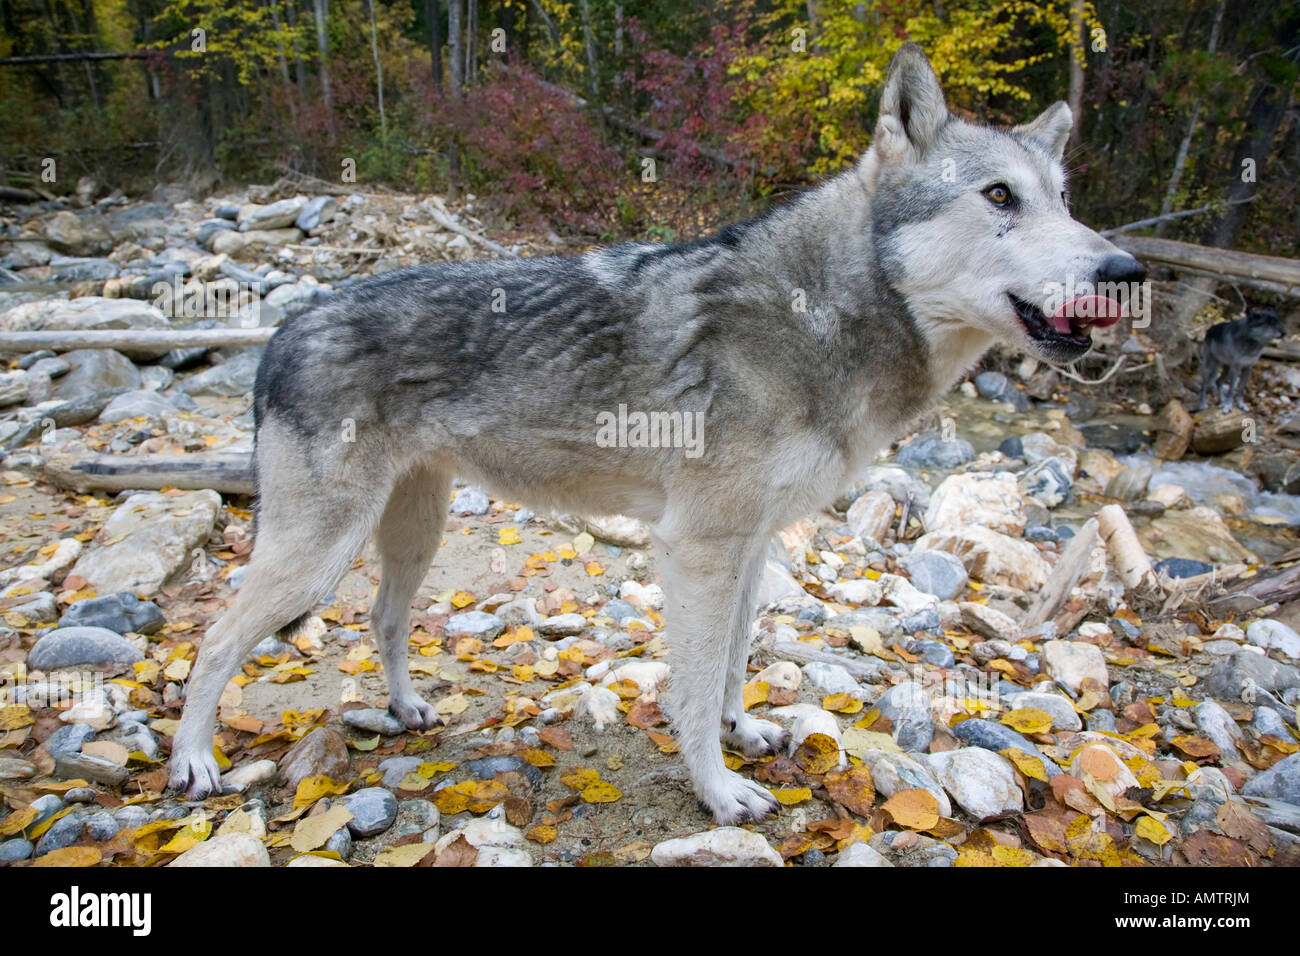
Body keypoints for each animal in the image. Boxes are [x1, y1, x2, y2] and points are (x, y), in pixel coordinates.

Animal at [168, 44, 1145, 824]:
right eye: (999, 197)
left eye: (1065, 200)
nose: (1126, 270)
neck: (821, 316)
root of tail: (284, 328)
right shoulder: (698, 548)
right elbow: (693, 686)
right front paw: (719, 793)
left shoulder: (751, 545)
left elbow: (735, 663)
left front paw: (745, 730)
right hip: (319, 553)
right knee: (215, 639)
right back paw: (193, 764)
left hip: (413, 533)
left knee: (381, 619)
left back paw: (406, 712)